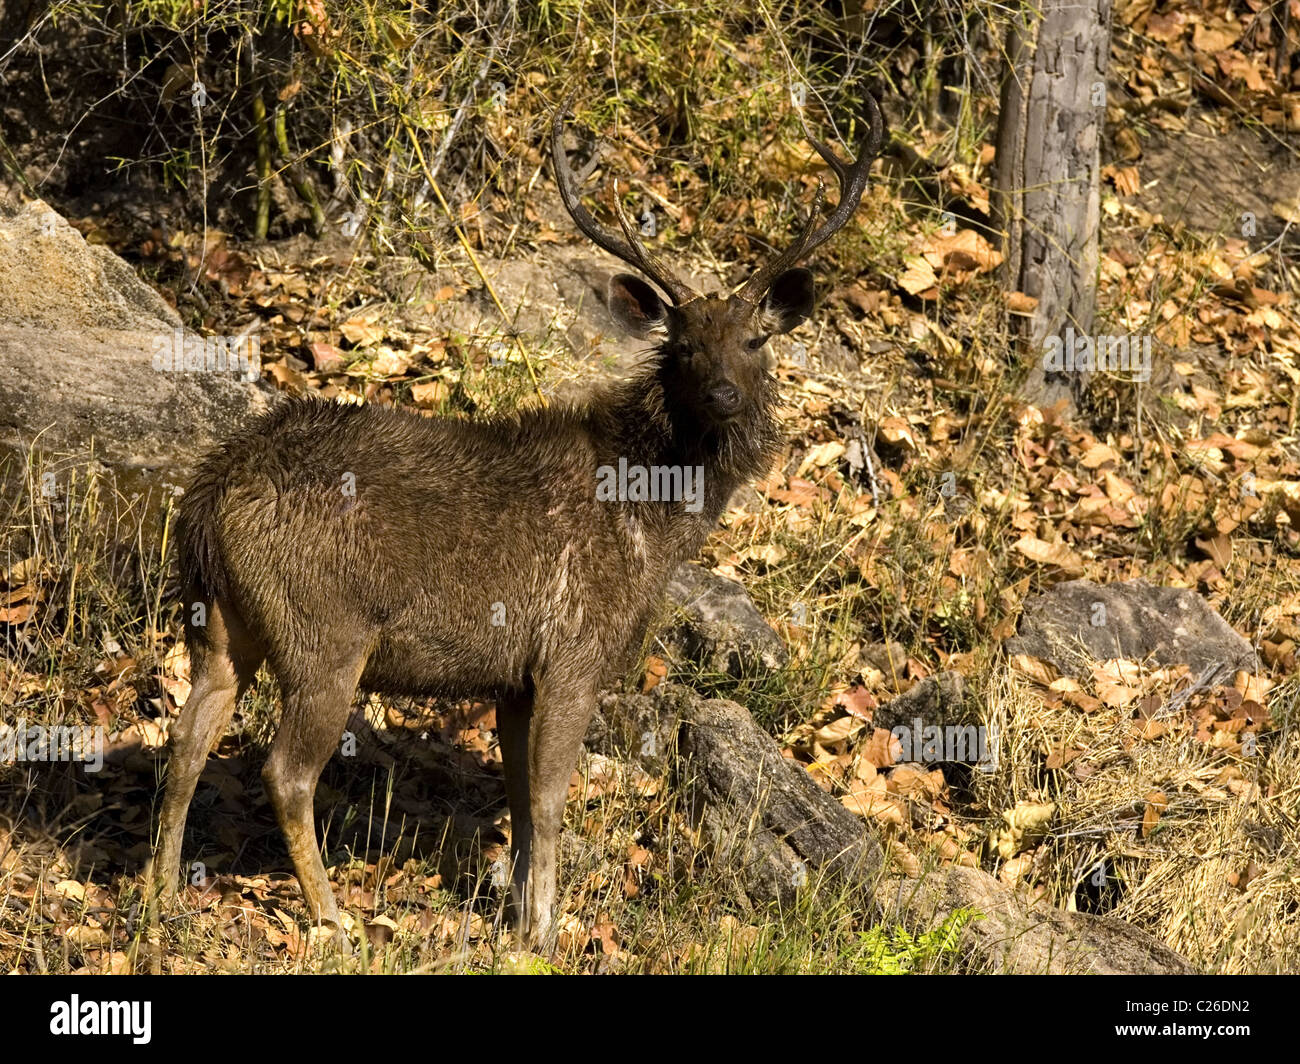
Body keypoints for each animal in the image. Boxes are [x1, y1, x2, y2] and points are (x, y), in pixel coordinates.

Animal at [145, 91, 885, 950]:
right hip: (325, 628)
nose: (725, 396)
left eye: (757, 339)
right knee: (284, 769)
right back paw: (331, 917)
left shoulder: (512, 676)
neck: (655, 523)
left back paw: (159, 897)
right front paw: (542, 934)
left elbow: (523, 801)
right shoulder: (574, 649)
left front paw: (522, 915)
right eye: (684, 347)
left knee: (187, 738)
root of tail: (211, 493)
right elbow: (550, 800)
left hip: (217, 619)